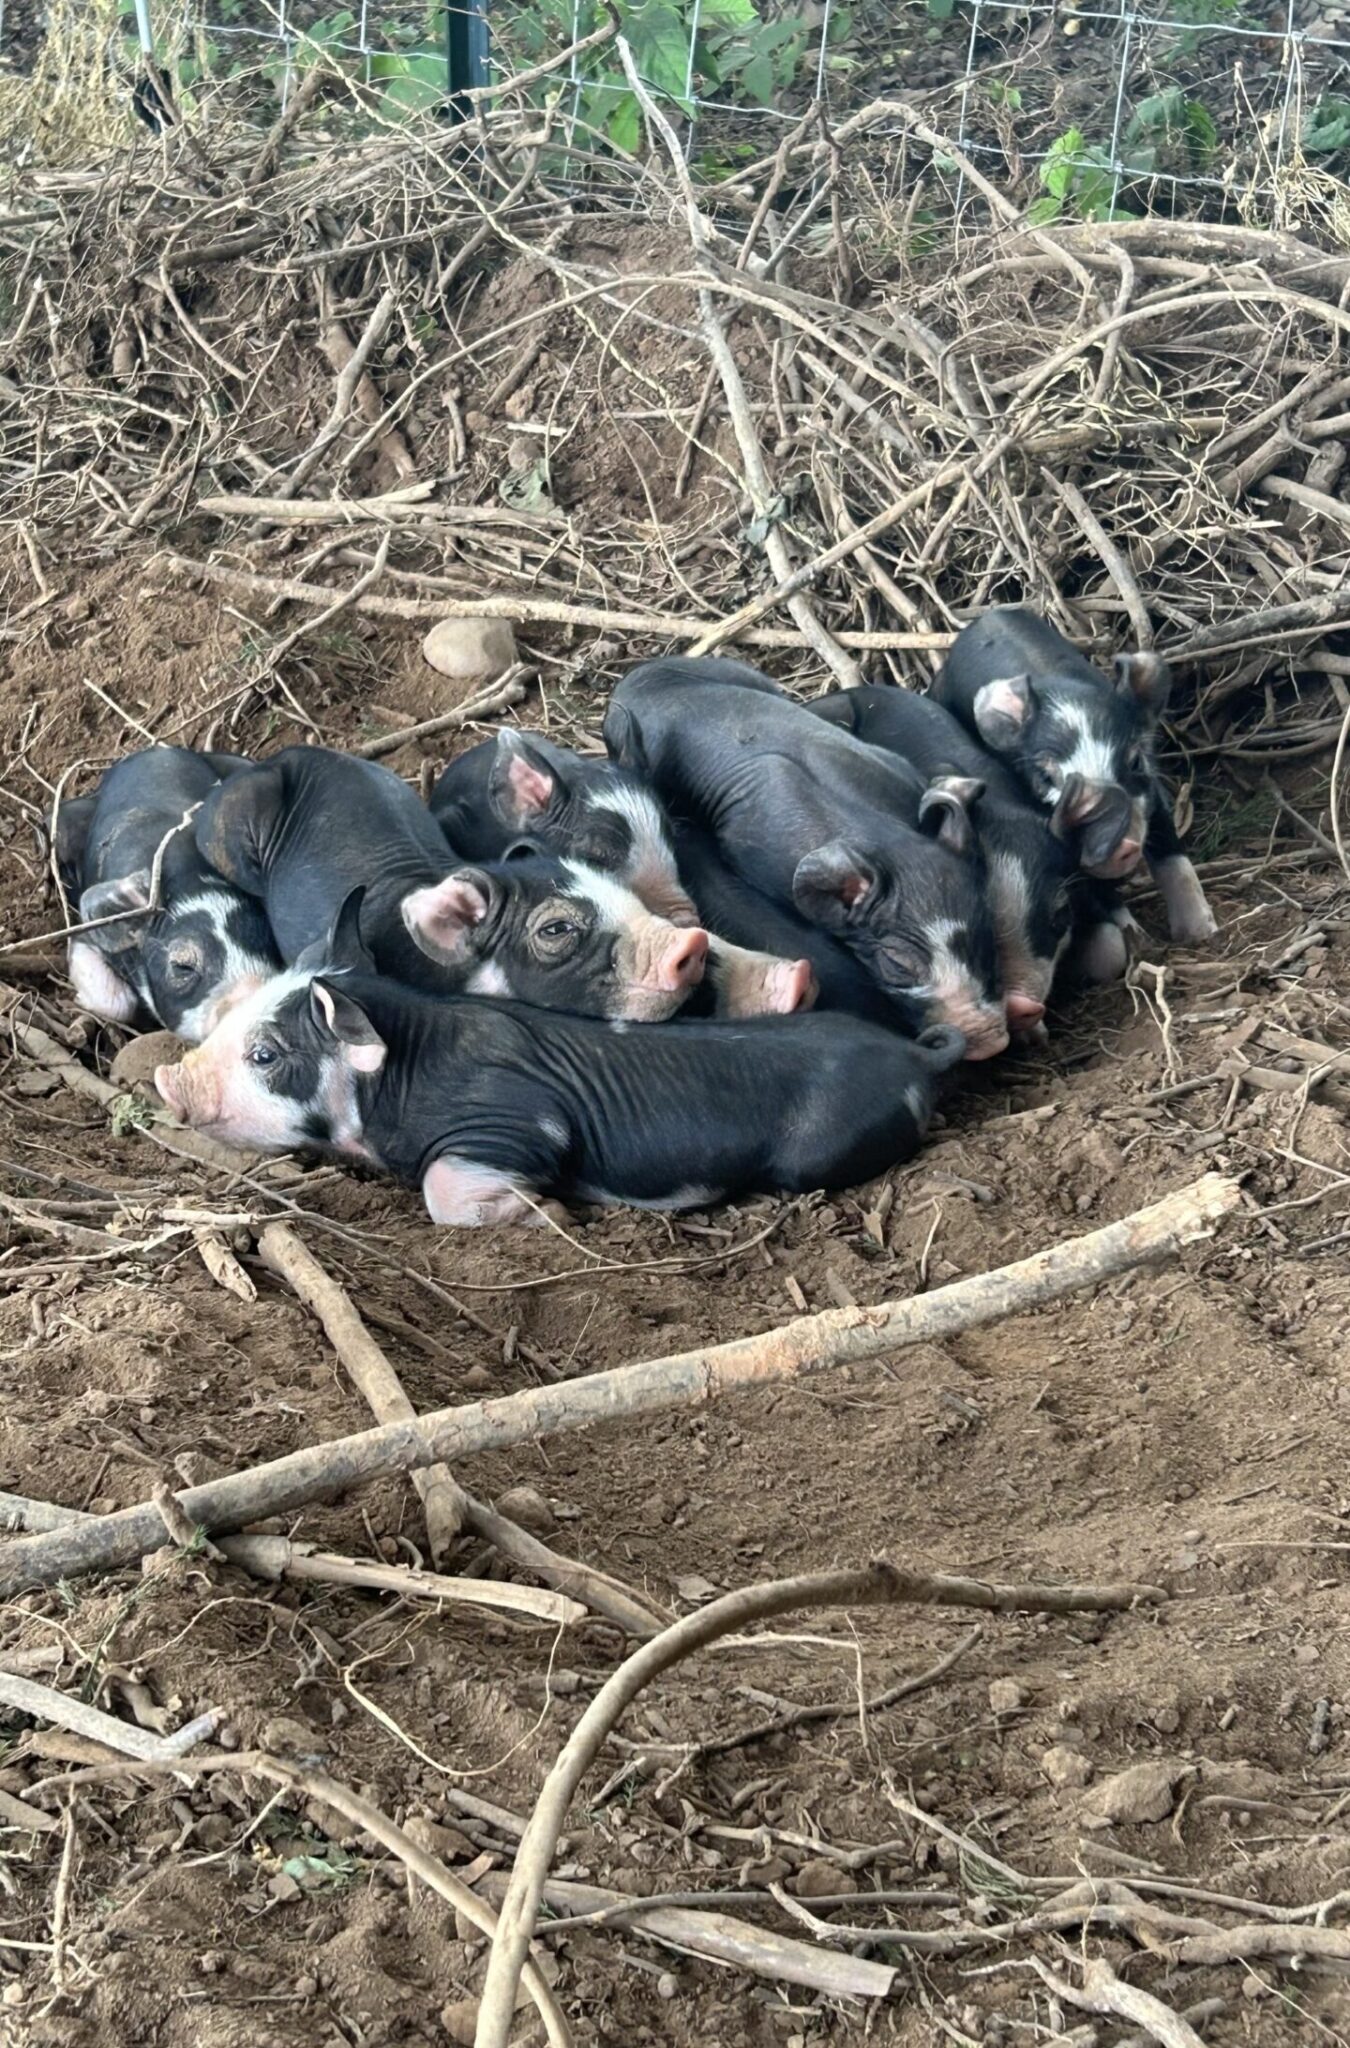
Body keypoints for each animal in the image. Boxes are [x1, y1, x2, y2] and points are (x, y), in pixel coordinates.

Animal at [54, 747, 280, 1041]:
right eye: (182, 966)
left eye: (270, 945)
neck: (189, 878)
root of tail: (148, 750)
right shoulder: (84, 933)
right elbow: (118, 1003)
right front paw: (79, 1002)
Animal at [153, 890, 967, 1223]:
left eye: (265, 1053)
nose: (168, 1078)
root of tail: (916, 1058)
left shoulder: (514, 1119)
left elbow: (444, 1191)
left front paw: (543, 1207)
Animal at [933, 607, 1216, 943]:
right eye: (1046, 778)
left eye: (1135, 762)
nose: (1118, 843)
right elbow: (1100, 892)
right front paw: (1135, 936)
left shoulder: (1153, 794)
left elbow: (1173, 857)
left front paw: (1202, 932)